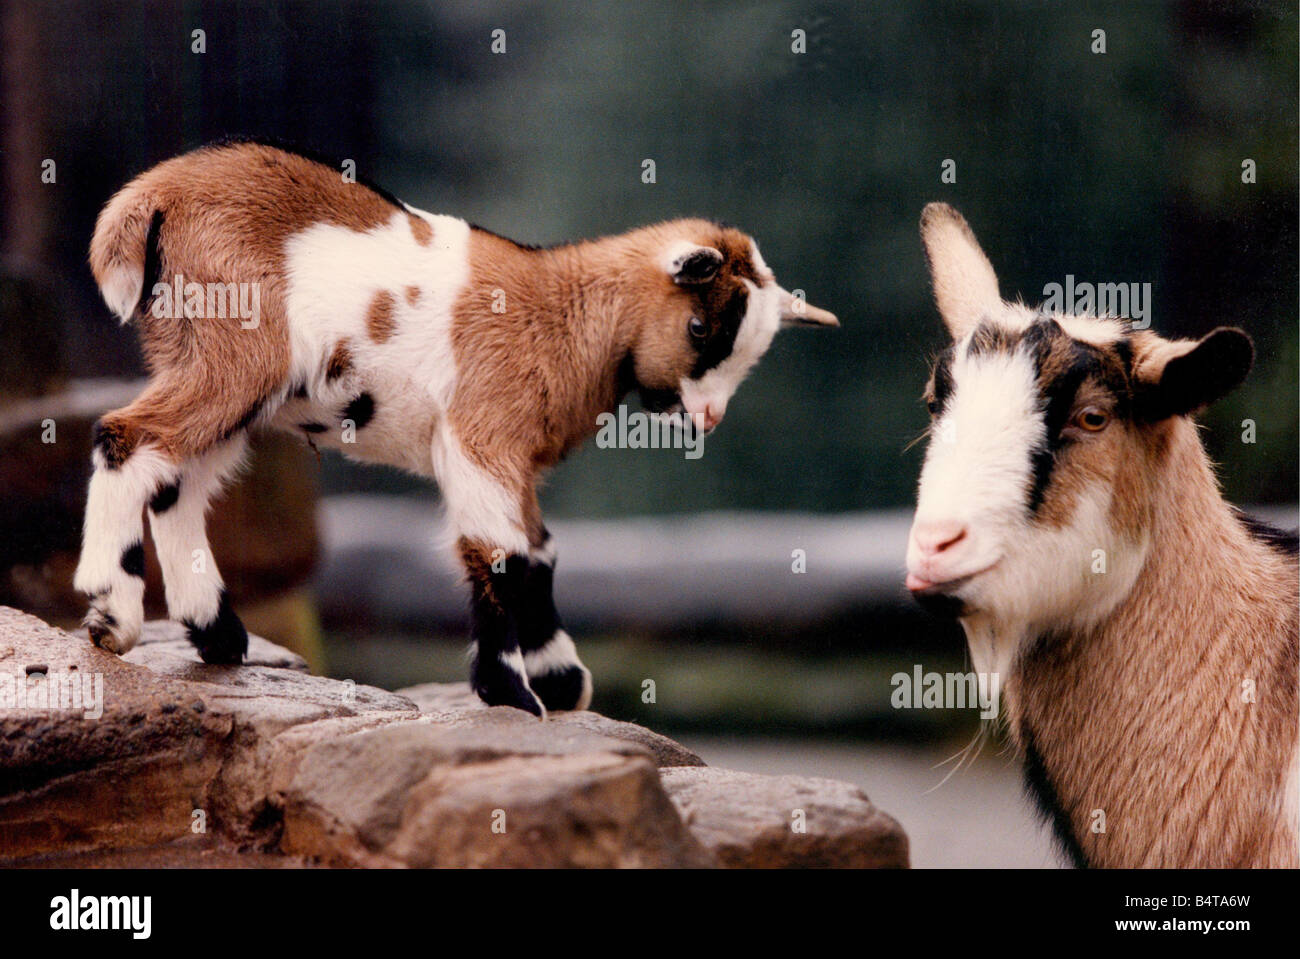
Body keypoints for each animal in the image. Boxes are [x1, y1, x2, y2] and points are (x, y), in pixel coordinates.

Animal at [73, 139, 837, 717]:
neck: (563, 311)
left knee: (174, 483)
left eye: (750, 353)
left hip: (218, 371)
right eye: (701, 328)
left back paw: (219, 637)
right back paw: (113, 616)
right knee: (127, 439)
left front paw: (560, 680)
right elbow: (501, 554)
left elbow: (540, 550)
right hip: (234, 352)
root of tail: (150, 198)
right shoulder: (480, 438)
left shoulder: (515, 459)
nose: (705, 419)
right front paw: (512, 693)